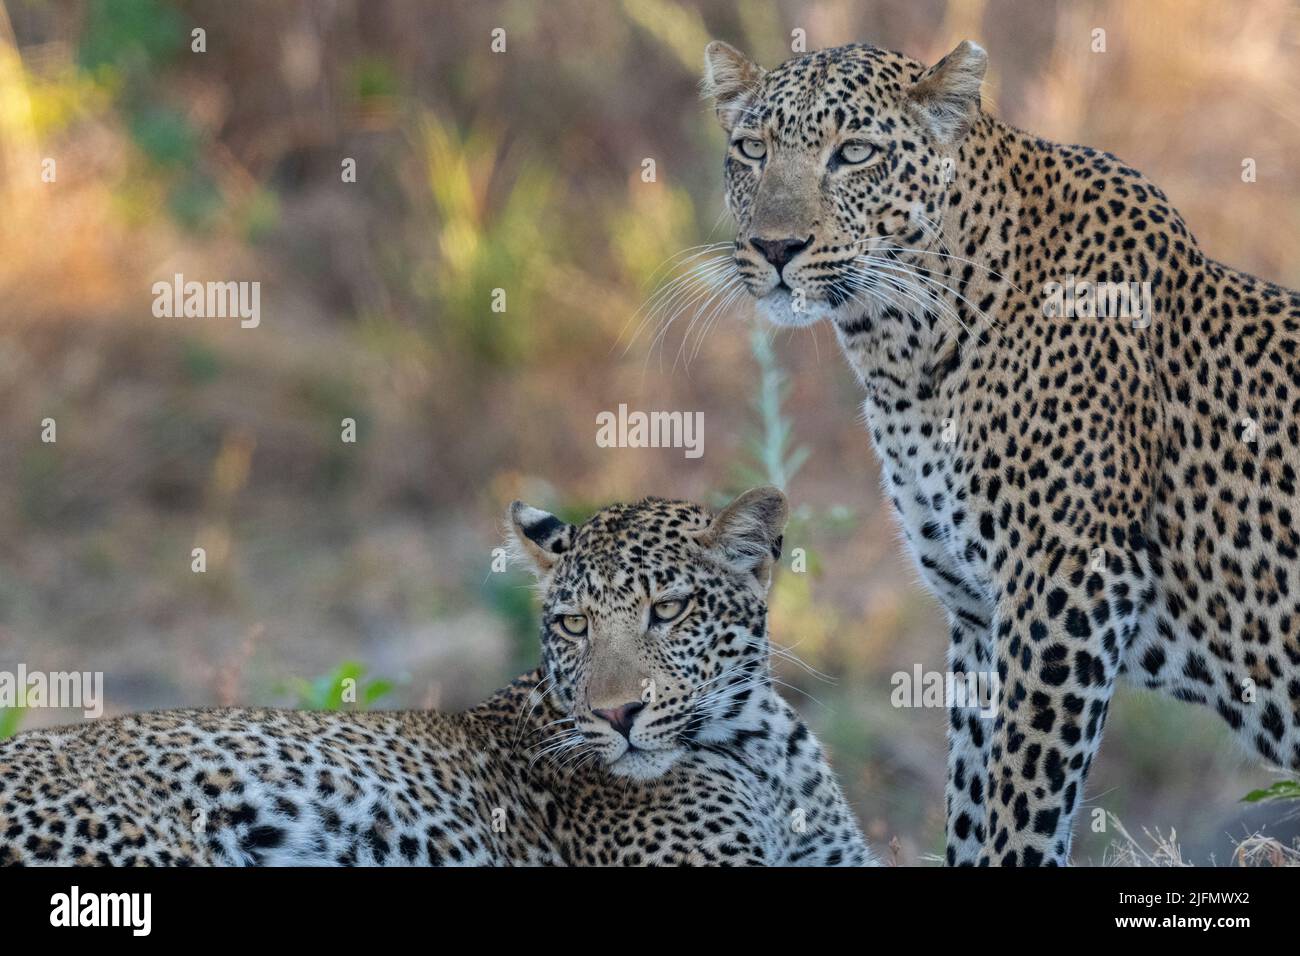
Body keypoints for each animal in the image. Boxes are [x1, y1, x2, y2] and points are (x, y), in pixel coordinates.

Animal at [699, 38, 1300, 866]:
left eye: (854, 153)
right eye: (752, 150)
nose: (775, 246)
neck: (905, 352)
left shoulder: (1070, 588)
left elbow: (1024, 802)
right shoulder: (980, 614)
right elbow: (971, 796)